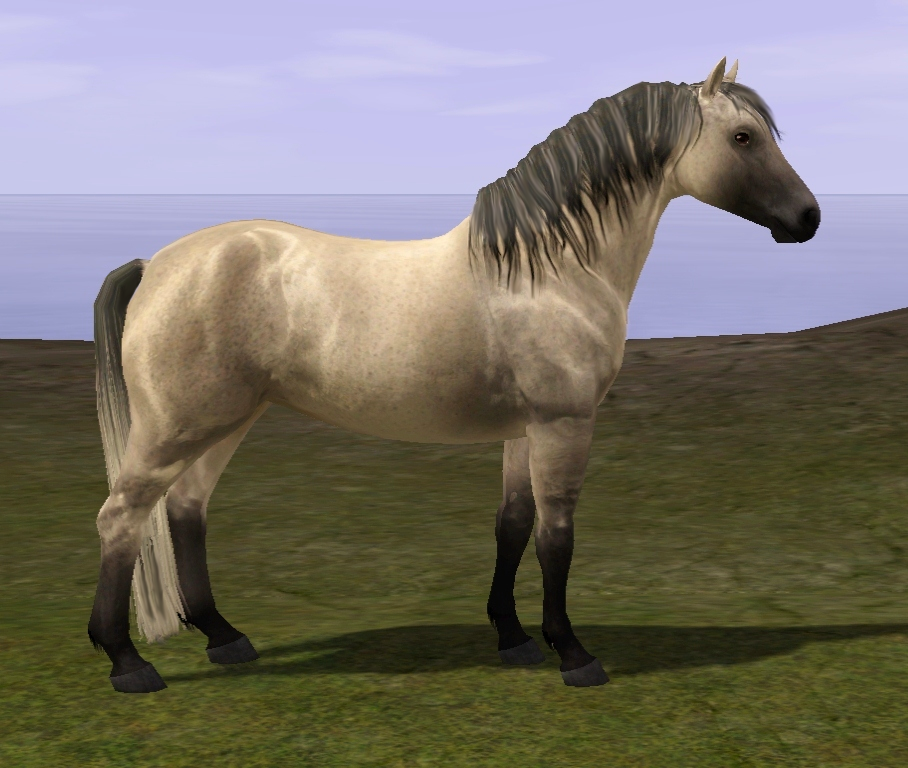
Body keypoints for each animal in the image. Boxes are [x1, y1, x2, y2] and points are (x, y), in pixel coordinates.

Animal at [88, 57, 820, 693]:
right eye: (744, 137)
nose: (808, 219)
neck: (549, 271)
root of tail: (156, 264)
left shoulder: (526, 429)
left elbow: (513, 524)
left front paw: (515, 638)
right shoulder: (564, 424)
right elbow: (557, 536)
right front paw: (573, 654)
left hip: (228, 419)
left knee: (185, 509)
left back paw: (224, 637)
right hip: (180, 425)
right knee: (122, 516)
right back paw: (127, 663)